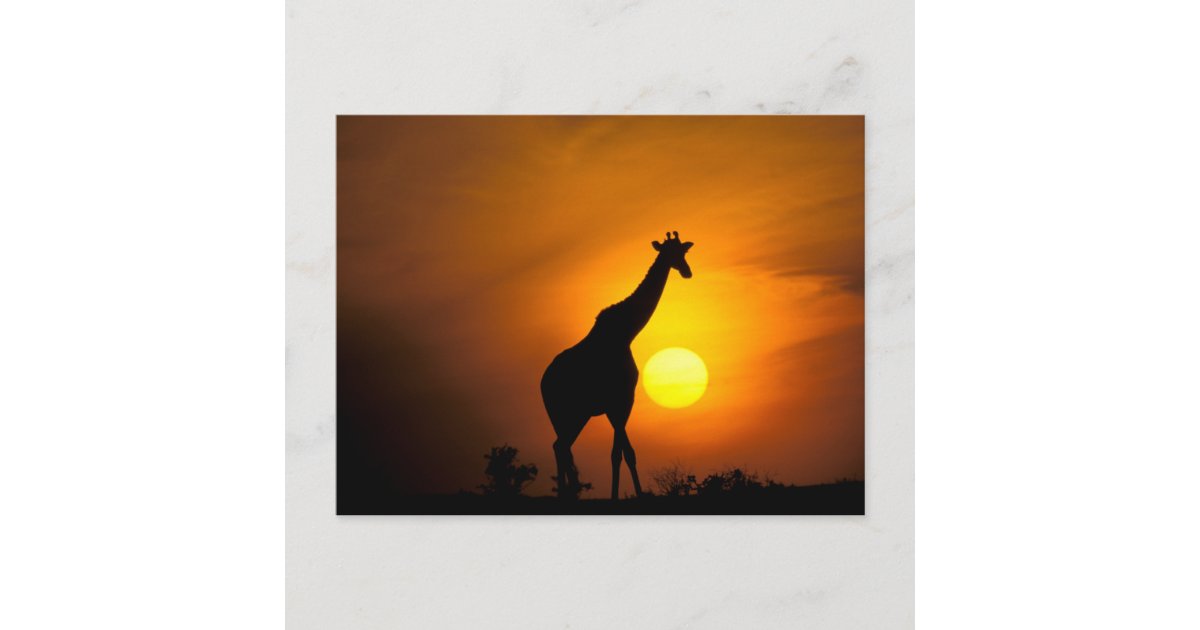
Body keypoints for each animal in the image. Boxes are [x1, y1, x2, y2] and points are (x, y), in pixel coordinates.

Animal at [540, 231, 695, 500]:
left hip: (569, 415)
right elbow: (625, 453)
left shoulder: (617, 403)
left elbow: (619, 453)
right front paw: (634, 495)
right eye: (671, 252)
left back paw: (568, 494)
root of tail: (542, 383)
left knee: (561, 446)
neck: (627, 332)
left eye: (683, 251)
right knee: (562, 447)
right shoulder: (621, 399)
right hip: (569, 413)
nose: (687, 271)